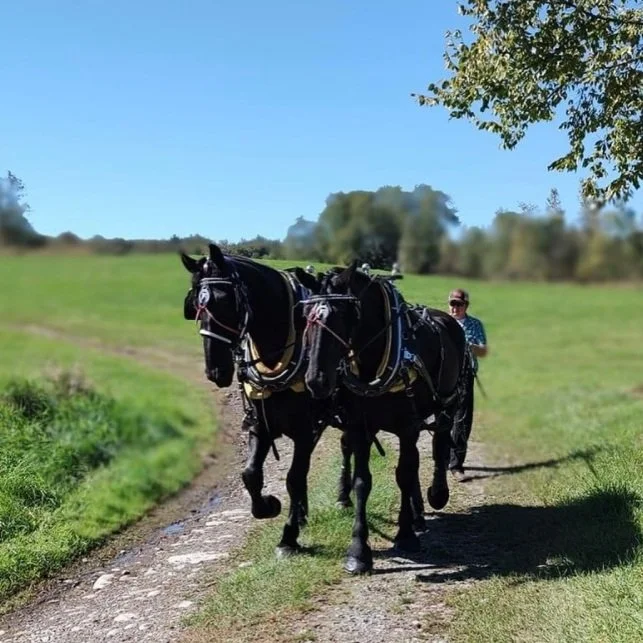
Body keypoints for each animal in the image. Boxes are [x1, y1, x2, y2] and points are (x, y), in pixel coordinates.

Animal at [181, 243, 330, 558]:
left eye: (226, 302)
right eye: (196, 306)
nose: (215, 371)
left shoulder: (304, 430)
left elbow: (294, 478)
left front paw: (288, 536)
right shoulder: (259, 426)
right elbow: (250, 474)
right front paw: (268, 507)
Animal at [302, 262, 470, 574]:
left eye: (342, 316)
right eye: (307, 317)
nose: (316, 380)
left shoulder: (407, 425)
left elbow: (404, 473)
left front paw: (405, 536)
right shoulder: (359, 426)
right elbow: (362, 482)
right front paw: (358, 551)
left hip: (448, 401)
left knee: (439, 443)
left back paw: (436, 494)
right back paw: (417, 515)